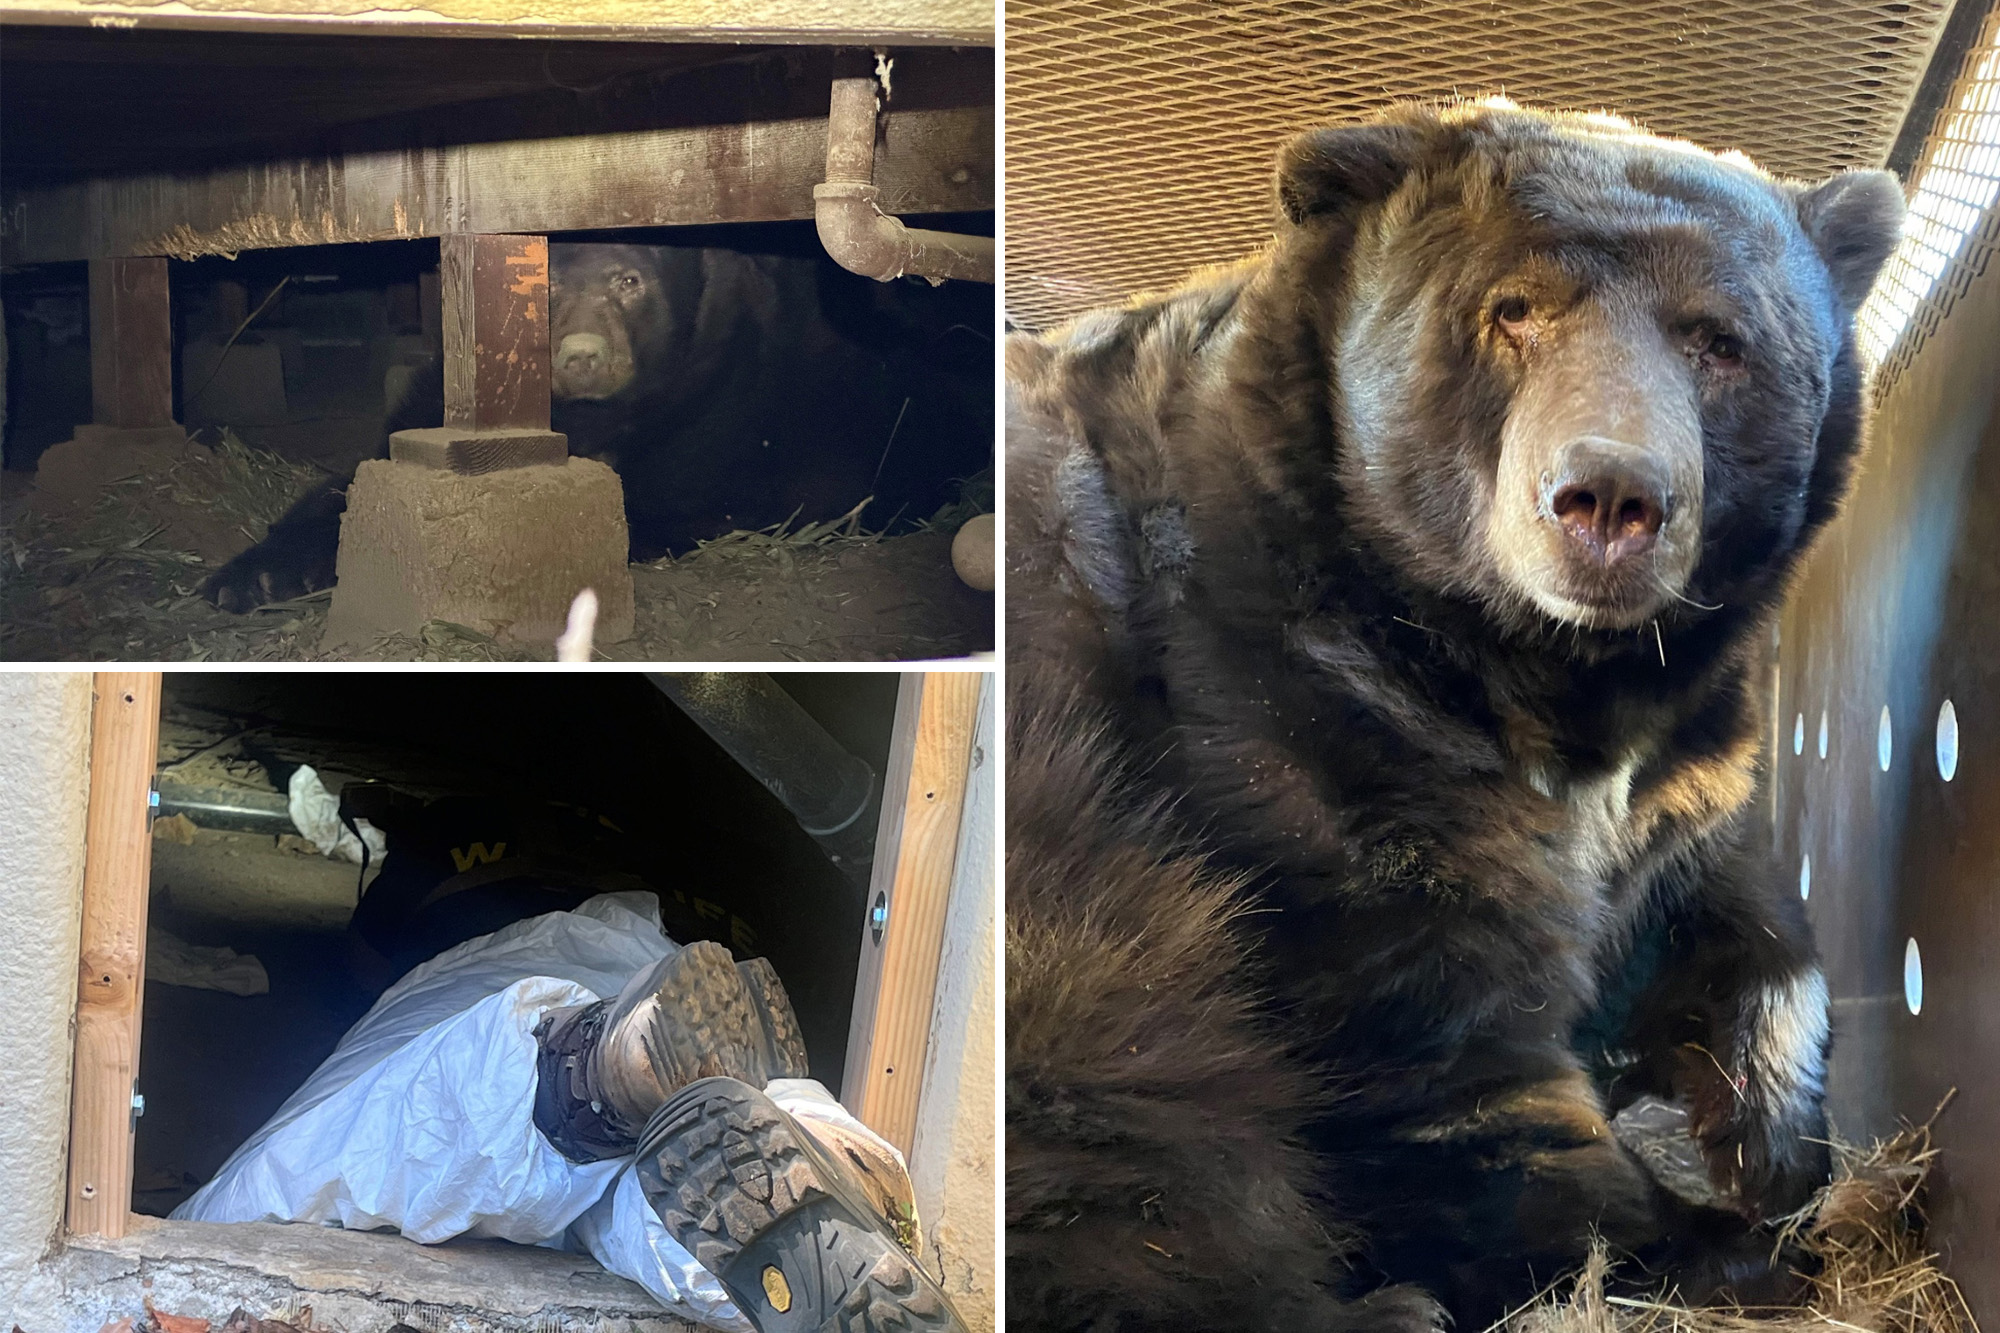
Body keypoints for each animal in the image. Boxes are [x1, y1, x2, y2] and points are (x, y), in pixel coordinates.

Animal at [204, 235, 992, 610]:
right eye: (544, 282)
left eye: (629, 280)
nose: (583, 356)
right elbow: (356, 480)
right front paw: (249, 573)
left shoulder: (724, 411)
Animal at [1004, 99, 1903, 1332]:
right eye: (1511, 310)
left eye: (1720, 341)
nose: (1609, 497)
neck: (1538, 676)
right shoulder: (1305, 737)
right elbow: (1452, 1083)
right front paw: (1713, 1238)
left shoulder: (1683, 773)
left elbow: (1738, 910)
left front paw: (1764, 1139)